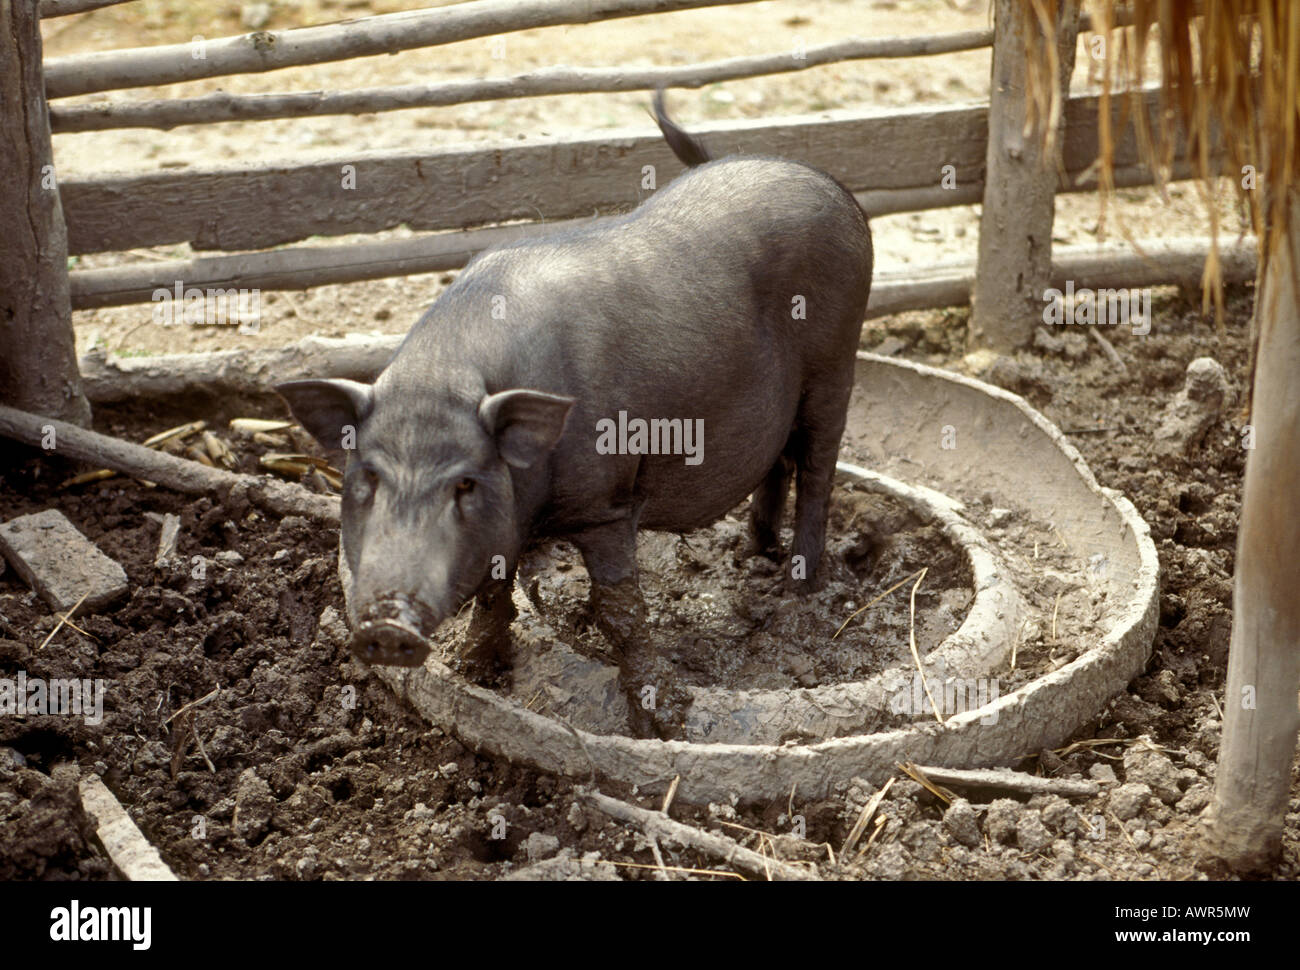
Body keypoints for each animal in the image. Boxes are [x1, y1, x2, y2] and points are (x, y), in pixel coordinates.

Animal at [276, 90, 873, 737]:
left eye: (465, 483)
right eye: (366, 478)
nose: (388, 624)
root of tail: (824, 181)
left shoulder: (607, 503)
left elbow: (620, 609)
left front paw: (659, 723)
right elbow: (494, 590)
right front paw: (474, 671)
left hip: (836, 363)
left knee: (818, 468)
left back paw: (799, 588)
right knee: (777, 464)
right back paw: (752, 555)